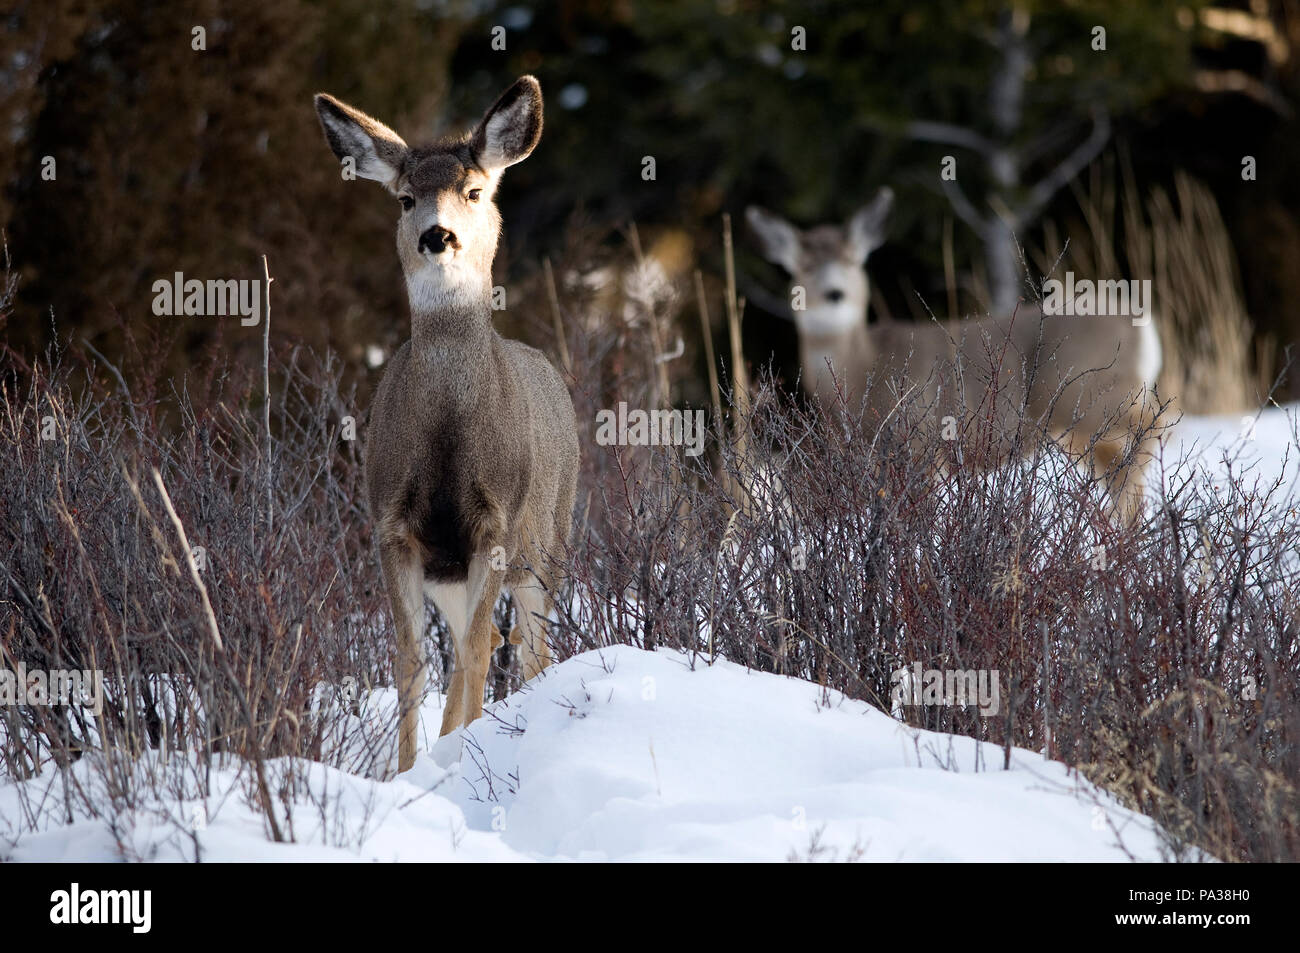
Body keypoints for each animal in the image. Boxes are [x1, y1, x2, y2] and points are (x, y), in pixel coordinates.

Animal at [315, 76, 579, 773]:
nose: (438, 236)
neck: (447, 435)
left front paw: (461, 759)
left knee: (530, 649)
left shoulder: (497, 522)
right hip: (457, 571)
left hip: (549, 541)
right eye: (406, 198)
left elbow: (482, 654)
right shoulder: (392, 525)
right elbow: (411, 660)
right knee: (471, 644)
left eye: (474, 191)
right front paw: (409, 772)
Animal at [745, 188, 1164, 522]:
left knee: (1154, 423)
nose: (834, 293)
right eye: (803, 266)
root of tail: (1140, 323)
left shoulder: (923, 442)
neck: (865, 370)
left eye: (851, 259)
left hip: (1089, 395)